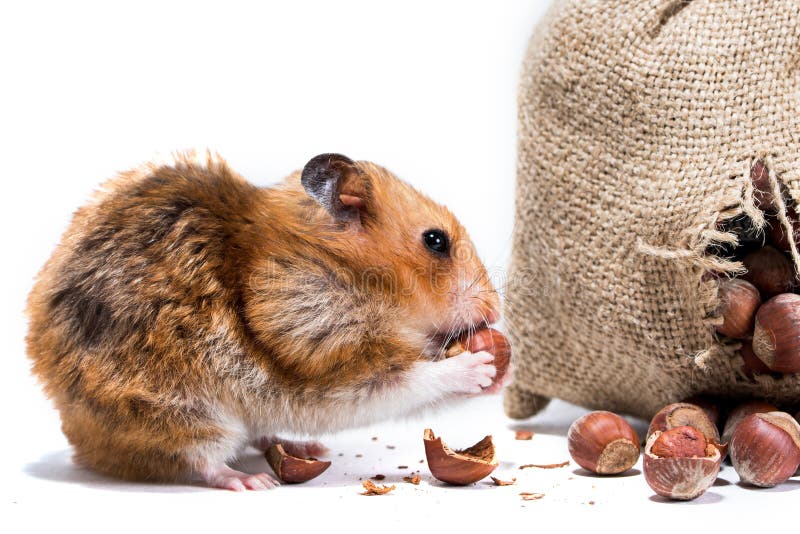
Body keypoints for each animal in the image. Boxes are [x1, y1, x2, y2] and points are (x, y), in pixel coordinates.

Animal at [25, 152, 504, 491]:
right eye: (435, 241)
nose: (497, 312)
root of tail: (83, 445)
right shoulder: (323, 354)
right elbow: (409, 381)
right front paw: (479, 368)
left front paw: (498, 369)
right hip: (179, 411)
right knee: (201, 459)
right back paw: (251, 481)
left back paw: (301, 447)